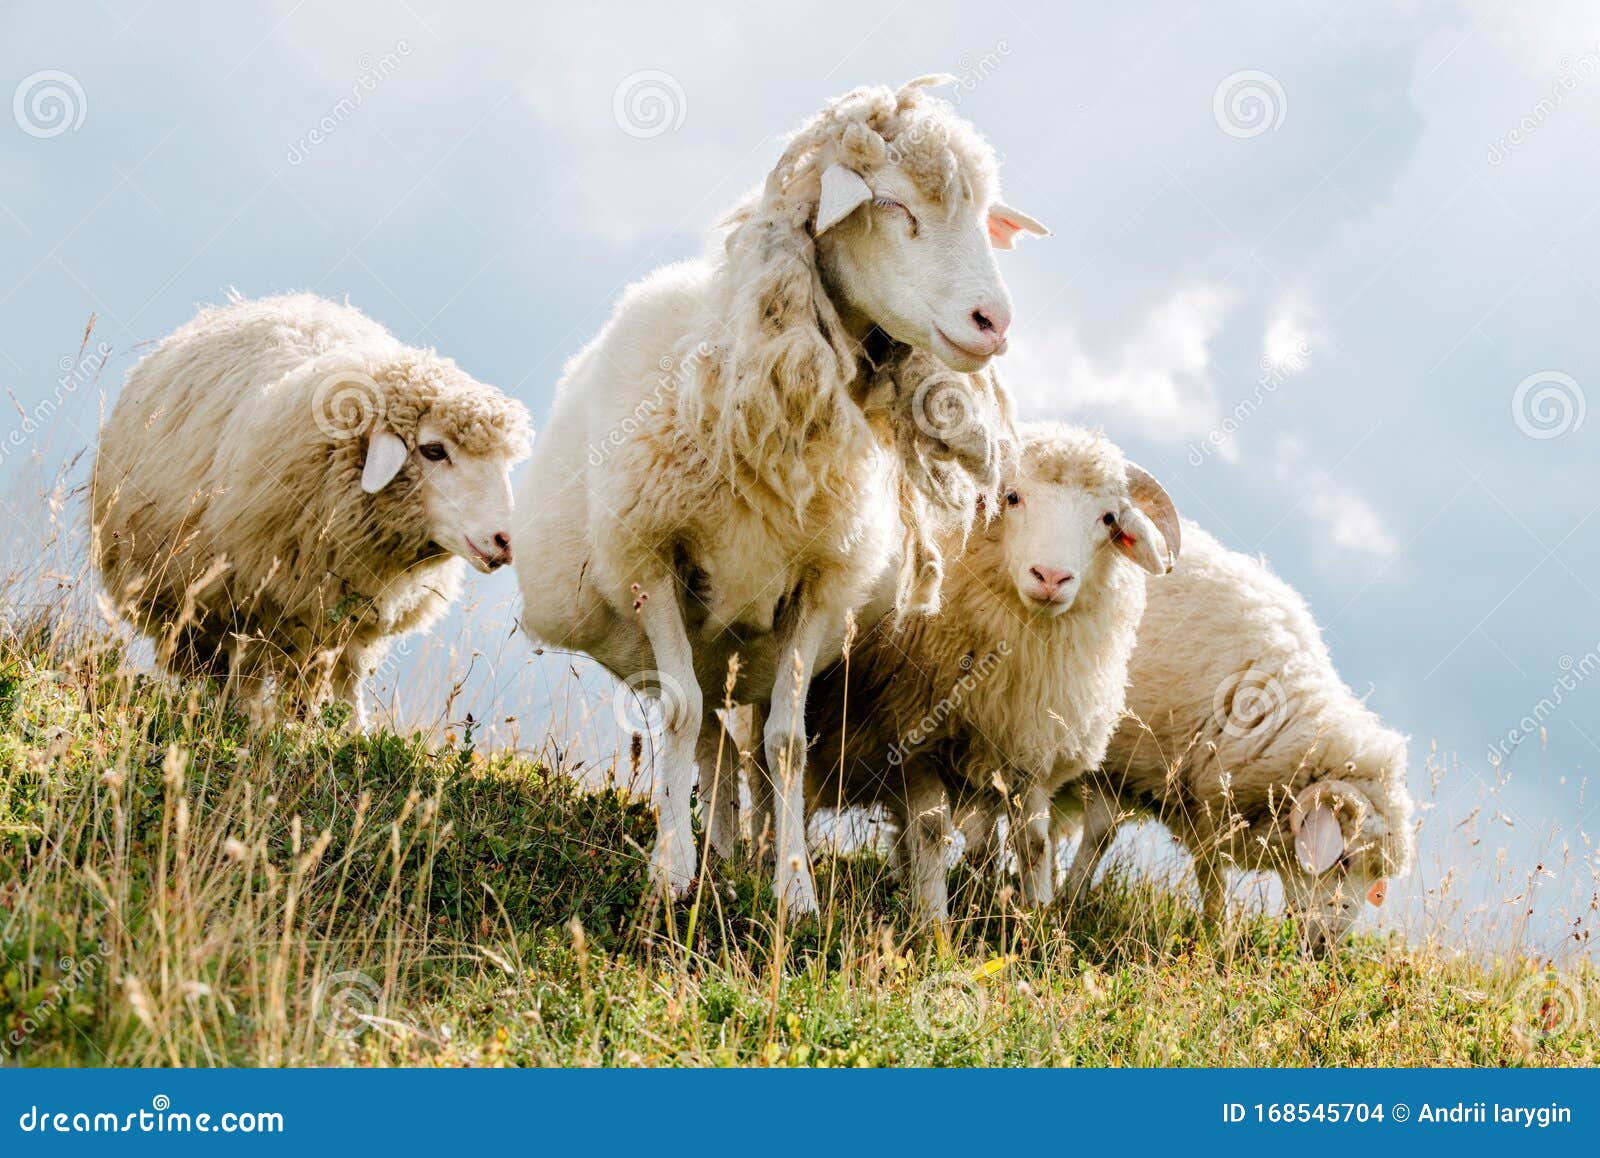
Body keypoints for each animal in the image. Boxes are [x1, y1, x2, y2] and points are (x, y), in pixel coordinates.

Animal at [91, 293, 532, 729]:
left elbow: (347, 691)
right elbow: (251, 686)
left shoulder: (348, 624)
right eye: (434, 450)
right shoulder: (252, 606)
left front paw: (353, 737)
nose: (506, 541)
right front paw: (249, 729)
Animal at [514, 77, 1047, 913]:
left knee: (748, 745)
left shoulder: (821, 584)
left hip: (755, 646)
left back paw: (749, 847)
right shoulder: (650, 559)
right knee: (705, 732)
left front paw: (793, 891)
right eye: (891, 204)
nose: (992, 322)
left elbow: (788, 745)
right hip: (689, 630)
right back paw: (712, 848)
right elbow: (679, 716)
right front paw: (670, 871)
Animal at [803, 422, 1181, 922]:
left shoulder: (1031, 749)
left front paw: (1038, 919)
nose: (1050, 577)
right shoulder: (912, 738)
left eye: (1107, 518)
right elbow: (931, 831)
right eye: (1012, 497)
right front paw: (934, 923)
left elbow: (1034, 843)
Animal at [1050, 521, 1415, 953]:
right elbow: (1099, 837)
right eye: (1343, 861)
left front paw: (1215, 934)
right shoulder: (1117, 763)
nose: (1326, 947)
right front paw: (1067, 903)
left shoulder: (1204, 800)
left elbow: (1210, 872)